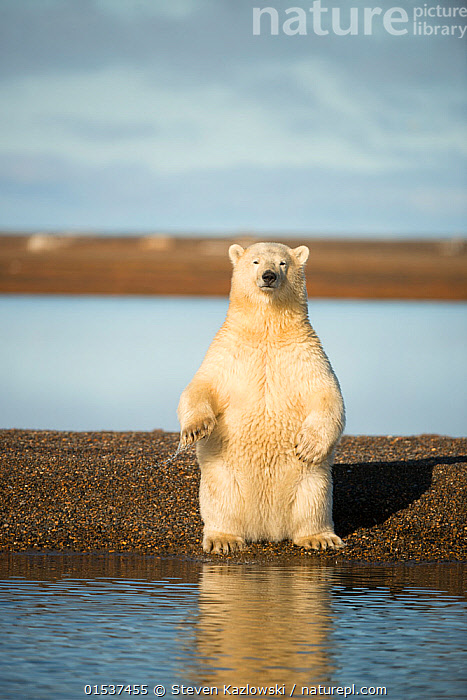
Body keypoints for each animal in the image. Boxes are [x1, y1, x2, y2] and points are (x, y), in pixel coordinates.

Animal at [177, 241, 345, 554]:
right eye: (255, 261)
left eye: (282, 263)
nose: (268, 276)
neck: (266, 332)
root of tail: (268, 529)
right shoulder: (227, 351)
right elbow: (202, 385)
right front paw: (195, 429)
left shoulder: (305, 355)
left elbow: (326, 394)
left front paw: (308, 447)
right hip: (223, 481)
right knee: (222, 505)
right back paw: (223, 539)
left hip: (312, 483)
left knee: (312, 505)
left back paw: (320, 538)